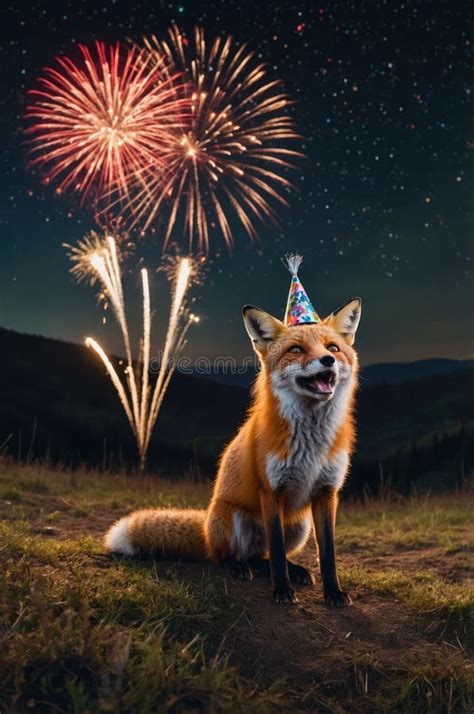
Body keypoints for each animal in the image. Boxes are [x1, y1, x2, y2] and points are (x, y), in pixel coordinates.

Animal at [105, 296, 362, 606]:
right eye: (296, 350)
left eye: (333, 348)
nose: (328, 360)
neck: (311, 443)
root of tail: (206, 531)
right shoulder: (270, 491)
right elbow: (277, 552)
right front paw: (281, 590)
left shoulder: (327, 492)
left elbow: (328, 555)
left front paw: (333, 592)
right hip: (235, 520)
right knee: (232, 556)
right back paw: (239, 566)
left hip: (299, 526)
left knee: (262, 556)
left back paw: (289, 569)